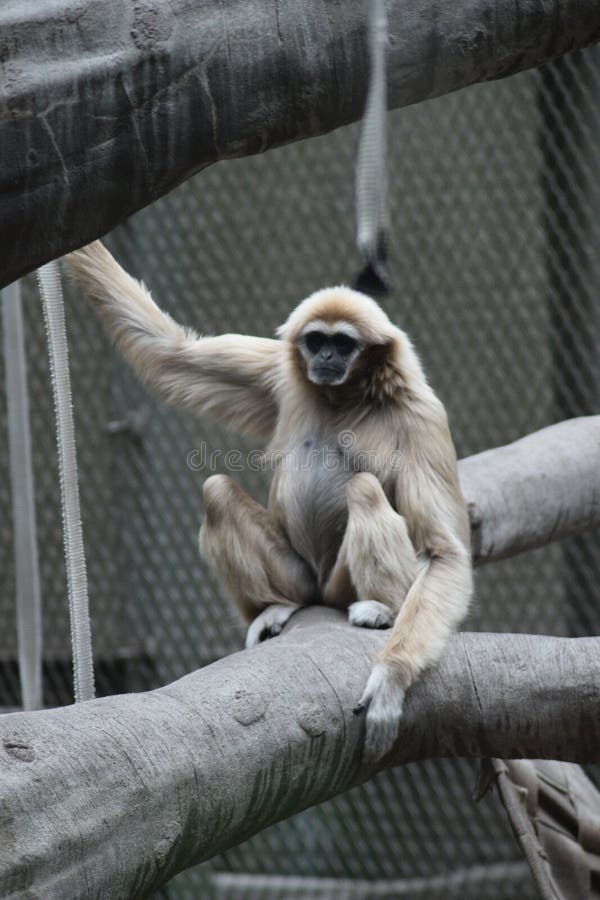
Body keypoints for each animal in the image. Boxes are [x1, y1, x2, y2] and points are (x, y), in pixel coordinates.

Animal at [65, 241, 472, 760]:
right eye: (316, 340)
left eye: (343, 345)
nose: (325, 356)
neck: (344, 398)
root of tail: (319, 589)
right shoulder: (279, 374)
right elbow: (170, 356)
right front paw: (78, 251)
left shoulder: (421, 416)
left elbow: (444, 551)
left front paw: (391, 678)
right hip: (298, 573)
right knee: (217, 492)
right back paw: (276, 606)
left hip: (338, 582)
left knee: (363, 490)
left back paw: (382, 608)